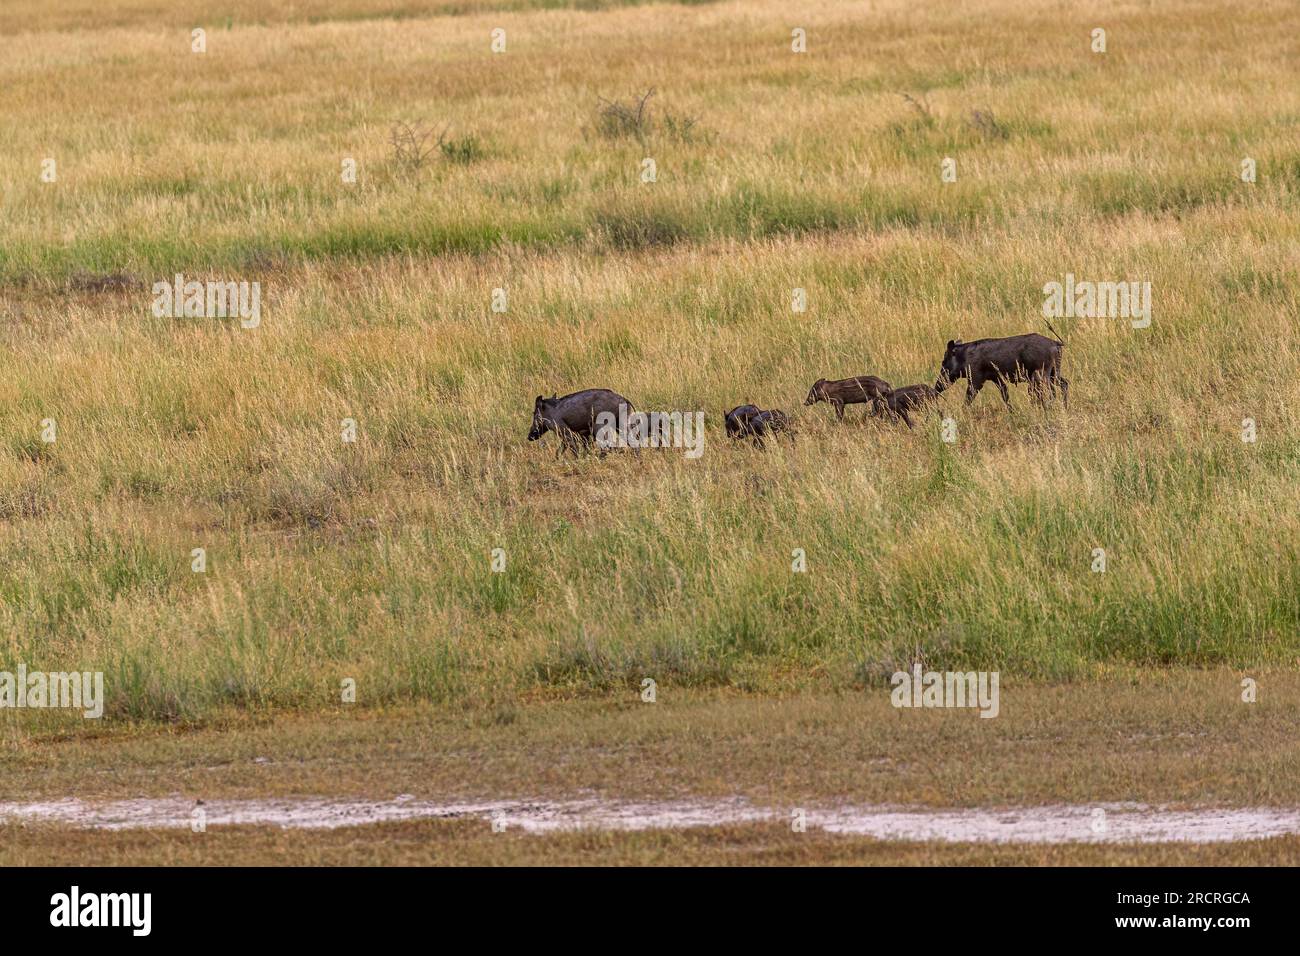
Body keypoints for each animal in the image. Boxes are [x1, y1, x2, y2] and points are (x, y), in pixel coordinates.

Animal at [934, 332, 1069, 407]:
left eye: (944, 362)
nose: (937, 387)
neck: (964, 357)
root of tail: (1056, 344)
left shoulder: (976, 381)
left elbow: (967, 400)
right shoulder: (996, 378)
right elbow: (1005, 396)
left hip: (1043, 374)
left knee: (1051, 393)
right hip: (1054, 373)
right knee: (1064, 384)